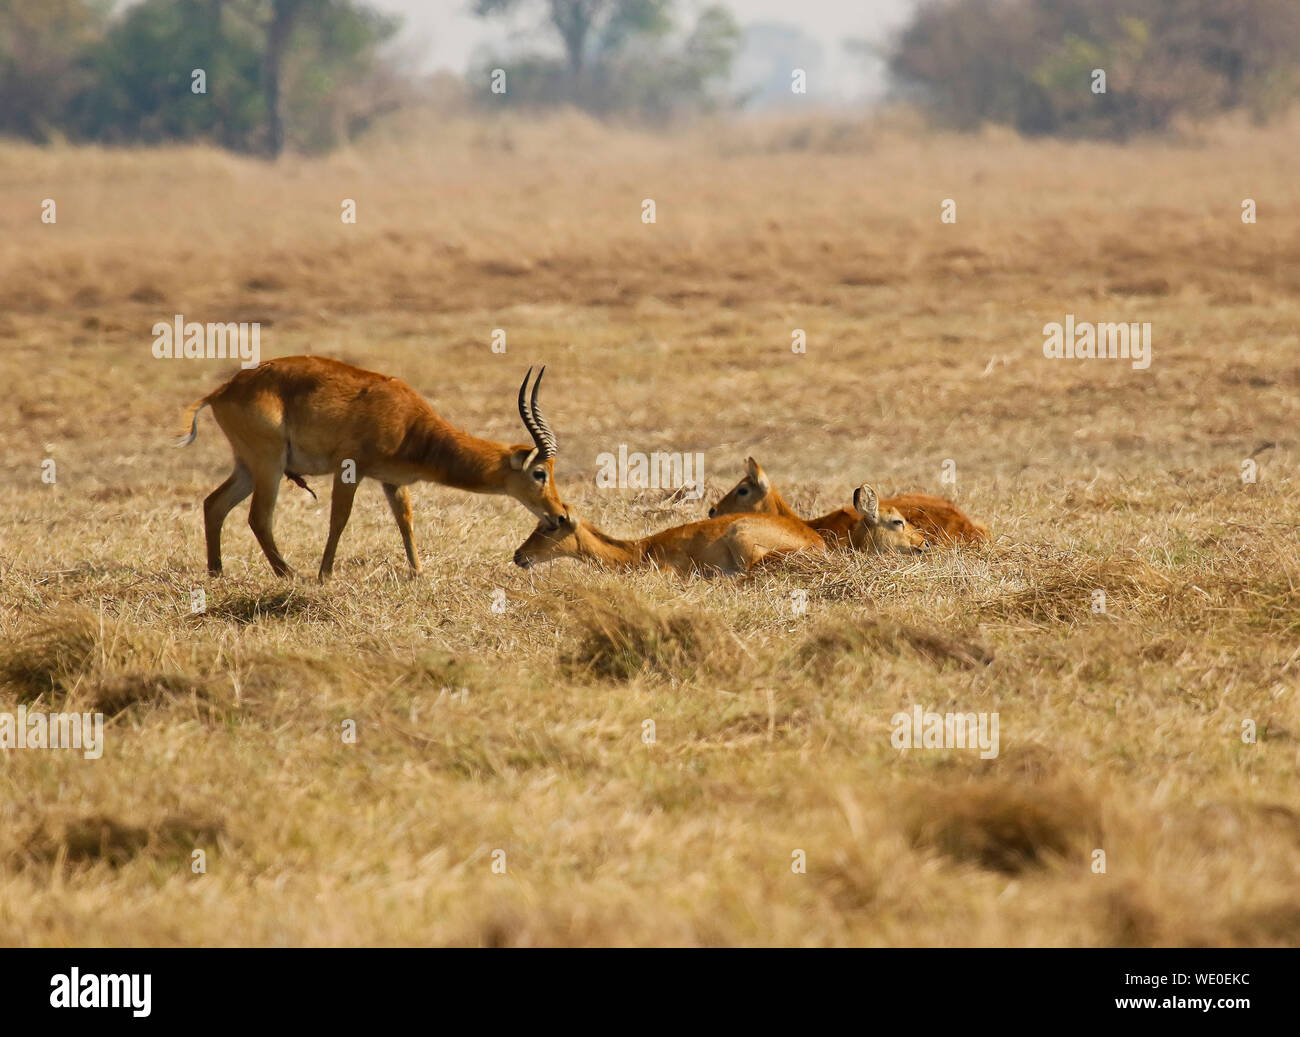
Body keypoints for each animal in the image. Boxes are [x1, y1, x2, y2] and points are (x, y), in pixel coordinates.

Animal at [177, 356, 568, 579]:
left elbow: (405, 520)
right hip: (268, 465)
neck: (411, 423)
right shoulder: (349, 470)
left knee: (214, 505)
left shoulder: (392, 481)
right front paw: (325, 575)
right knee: (258, 517)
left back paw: (217, 574)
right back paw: (290, 574)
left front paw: (418, 572)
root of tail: (224, 389)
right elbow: (339, 519)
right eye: (539, 473)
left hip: (246, 467)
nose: (561, 516)